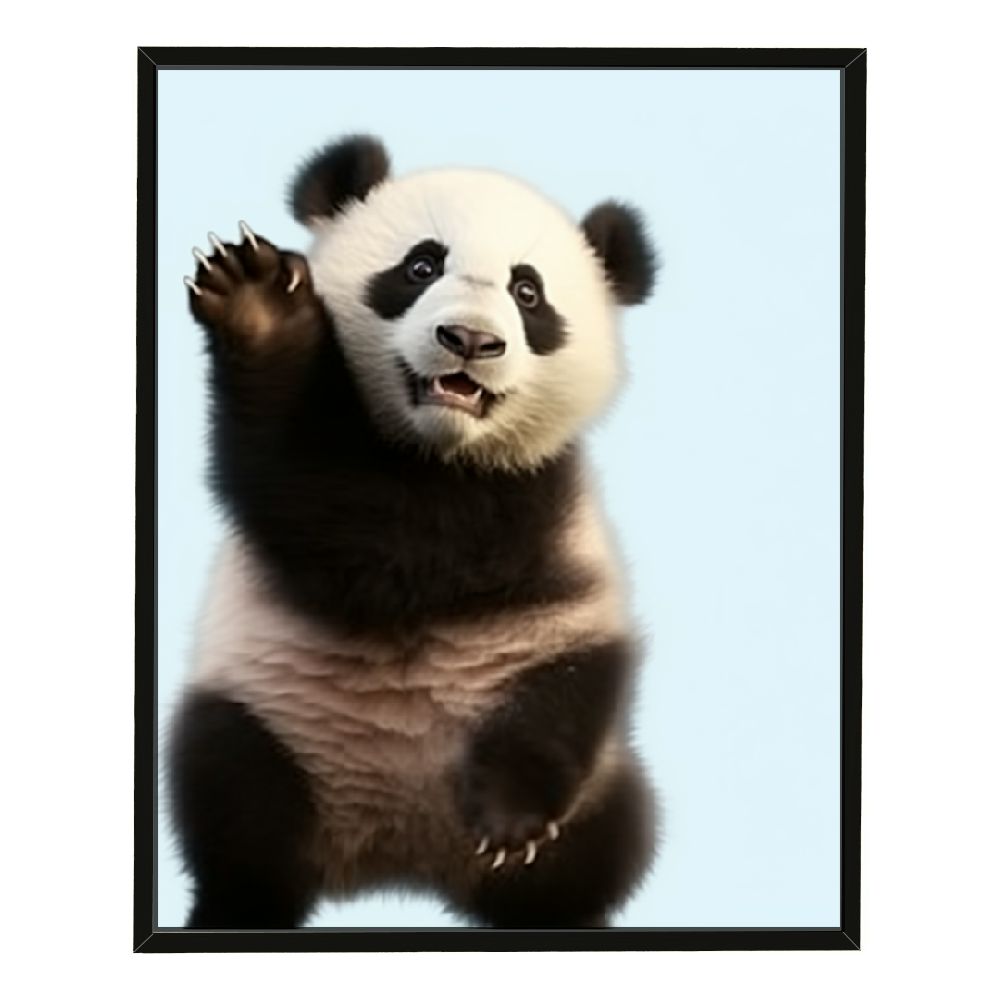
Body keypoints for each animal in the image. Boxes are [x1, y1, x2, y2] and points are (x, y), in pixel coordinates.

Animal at [170, 134, 659, 930]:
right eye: (421, 266)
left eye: (529, 294)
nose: (469, 339)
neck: (438, 452)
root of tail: (397, 851)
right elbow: (319, 492)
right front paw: (259, 310)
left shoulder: (535, 503)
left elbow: (403, 550)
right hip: (263, 720)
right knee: (235, 803)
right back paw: (238, 906)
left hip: (576, 729)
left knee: (585, 813)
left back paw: (516, 840)